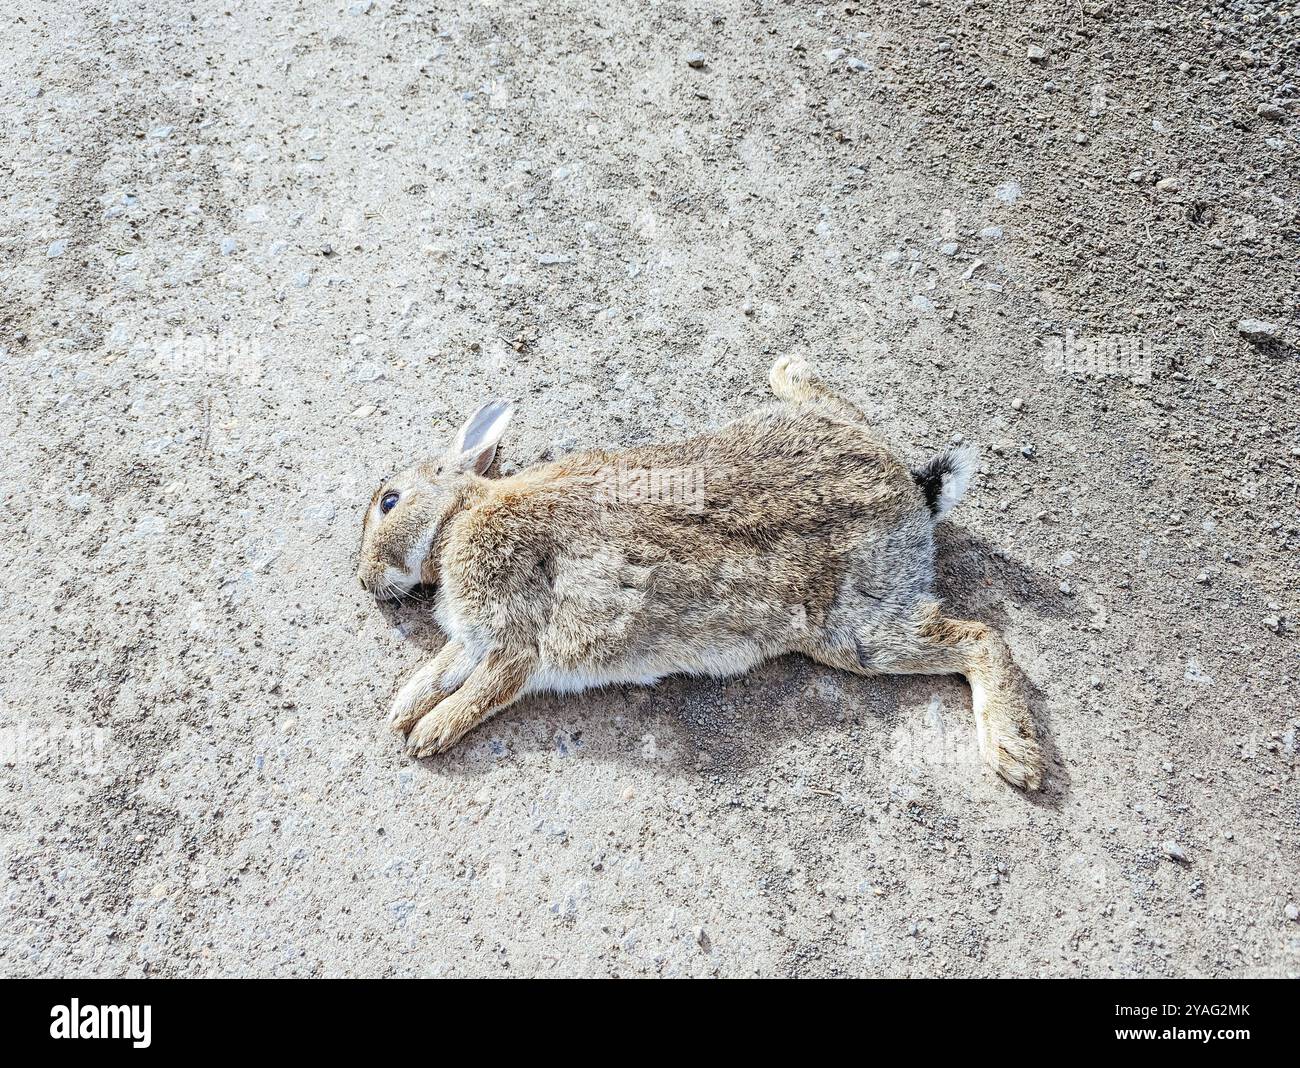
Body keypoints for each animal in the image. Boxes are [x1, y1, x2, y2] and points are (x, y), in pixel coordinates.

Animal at [357, 355, 1044, 789]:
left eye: (388, 500)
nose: (364, 582)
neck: (457, 518)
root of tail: (914, 494)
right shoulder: (473, 639)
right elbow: (441, 668)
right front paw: (400, 710)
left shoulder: (515, 644)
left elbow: (479, 691)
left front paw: (428, 735)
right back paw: (788, 370)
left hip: (858, 632)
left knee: (981, 639)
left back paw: (1017, 758)